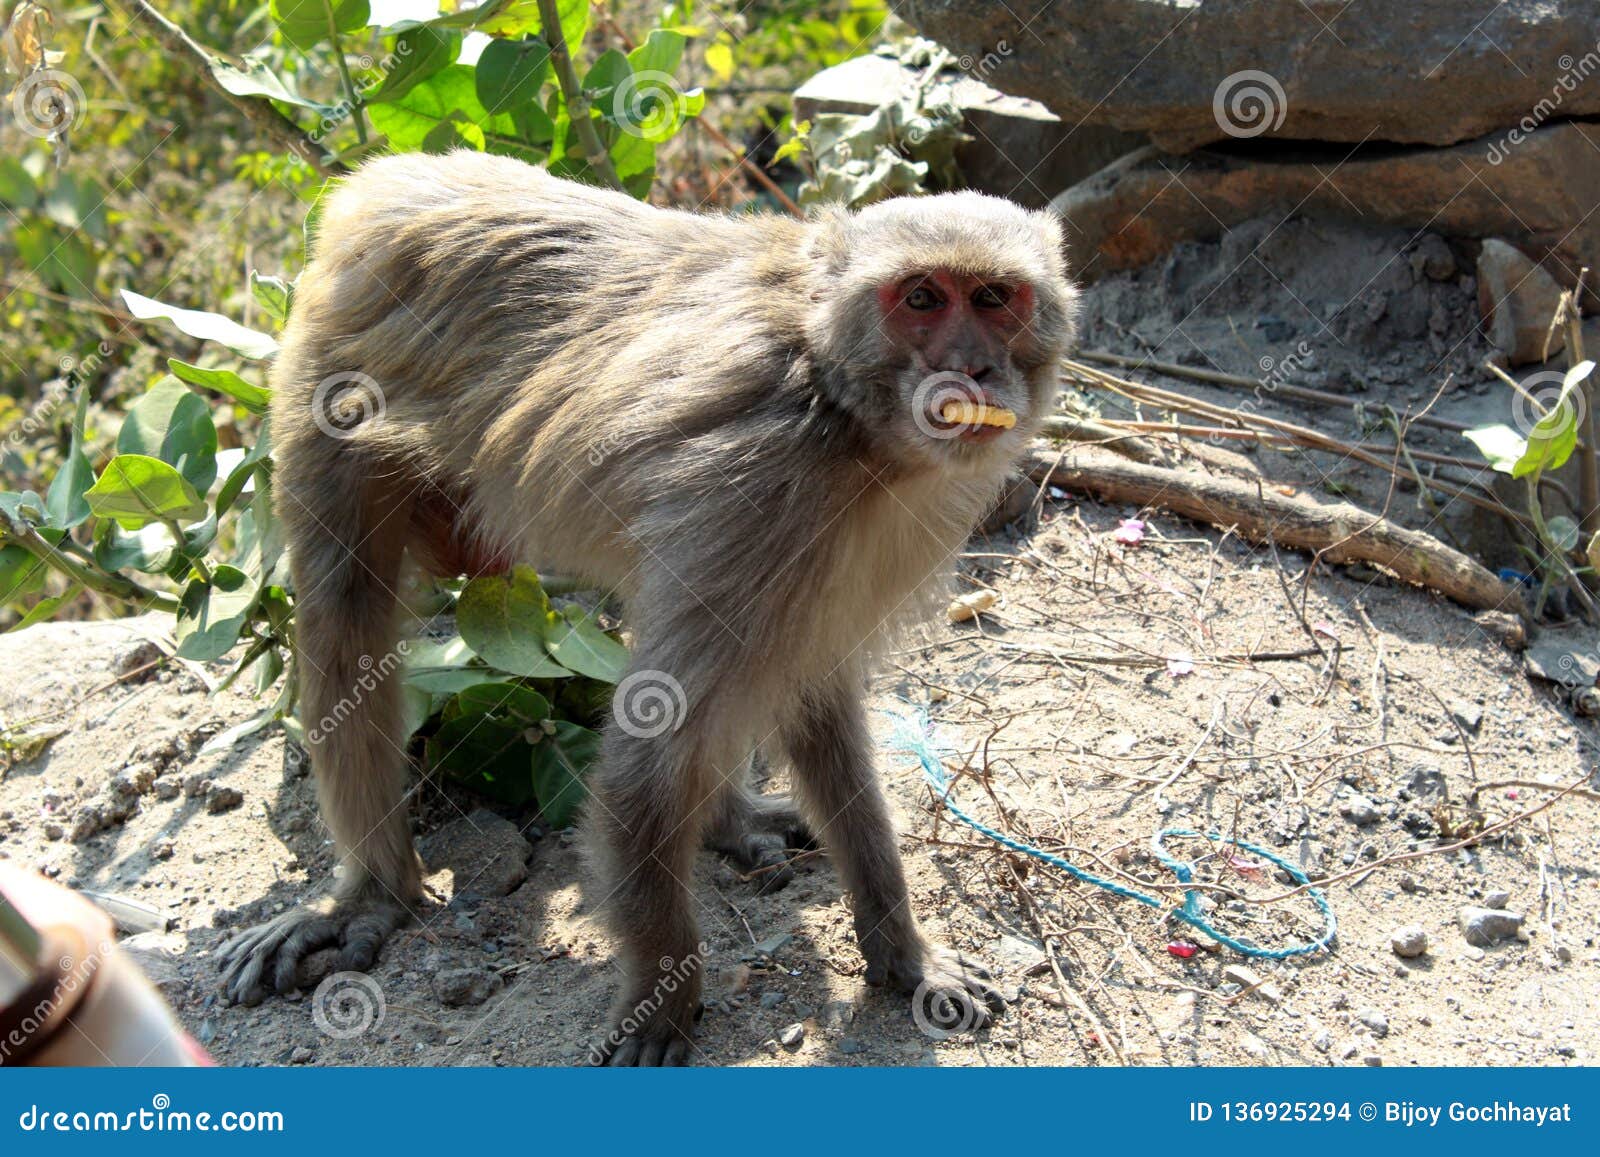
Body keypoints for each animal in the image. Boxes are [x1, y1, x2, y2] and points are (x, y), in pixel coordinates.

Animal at [217, 149, 1080, 1065]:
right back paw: (370, 894)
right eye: (921, 298)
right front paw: (663, 995)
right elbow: (647, 756)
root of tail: (387, 182)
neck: (842, 410)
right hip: (328, 379)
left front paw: (900, 951)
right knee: (344, 615)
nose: (973, 367)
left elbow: (813, 695)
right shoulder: (761, 489)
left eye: (995, 298)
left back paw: (726, 818)